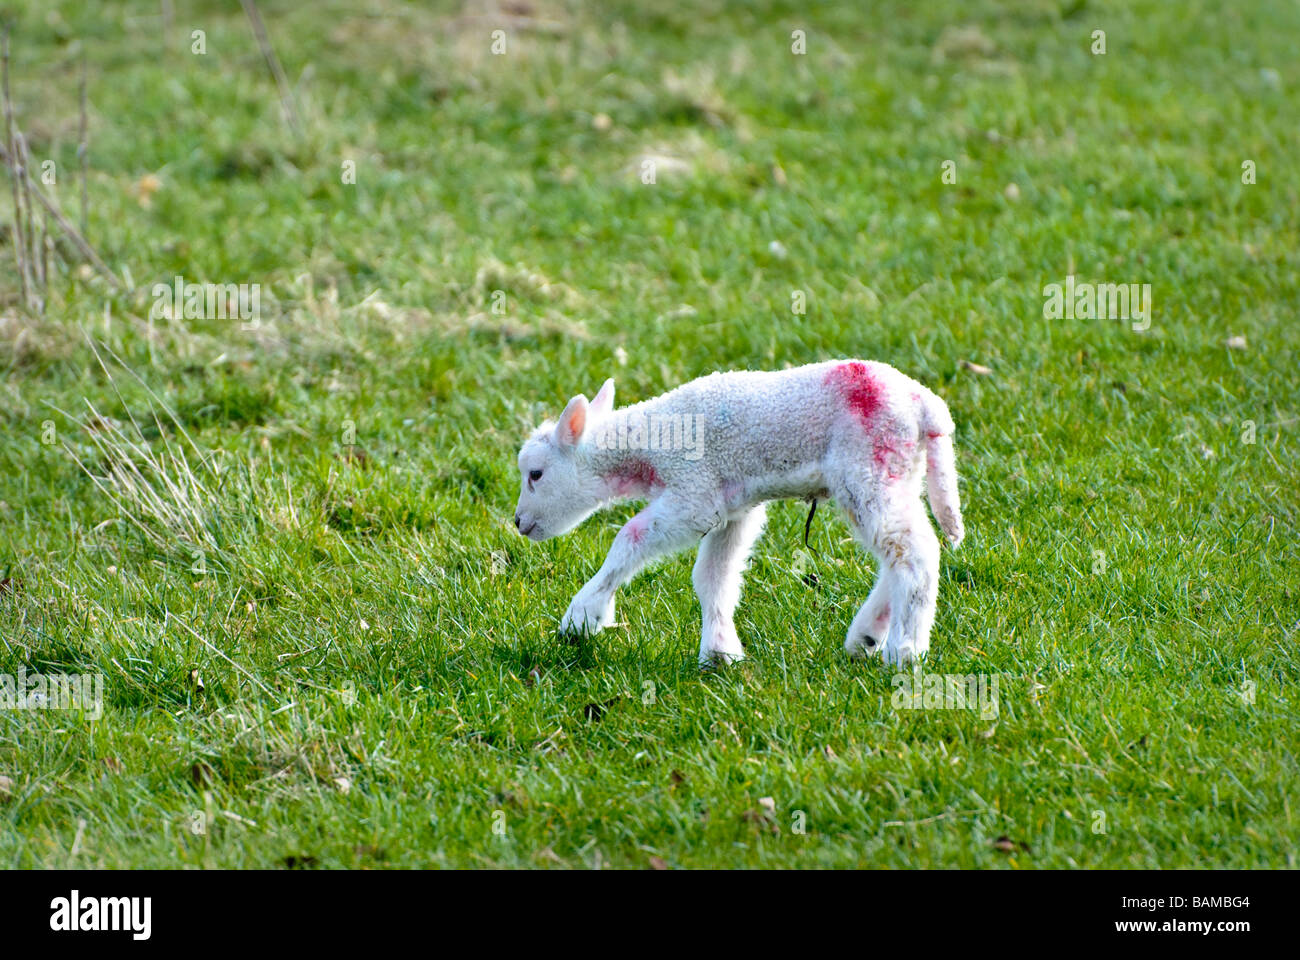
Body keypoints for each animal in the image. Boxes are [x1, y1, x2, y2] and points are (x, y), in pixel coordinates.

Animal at [513, 360, 965, 666]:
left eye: (535, 474)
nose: (518, 524)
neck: (651, 447)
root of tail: (928, 406)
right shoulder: (732, 509)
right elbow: (714, 576)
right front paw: (720, 652)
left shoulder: (694, 493)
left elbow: (631, 537)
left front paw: (581, 617)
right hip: (900, 472)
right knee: (899, 552)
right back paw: (866, 638)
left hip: (868, 466)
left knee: (914, 551)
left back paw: (905, 652)